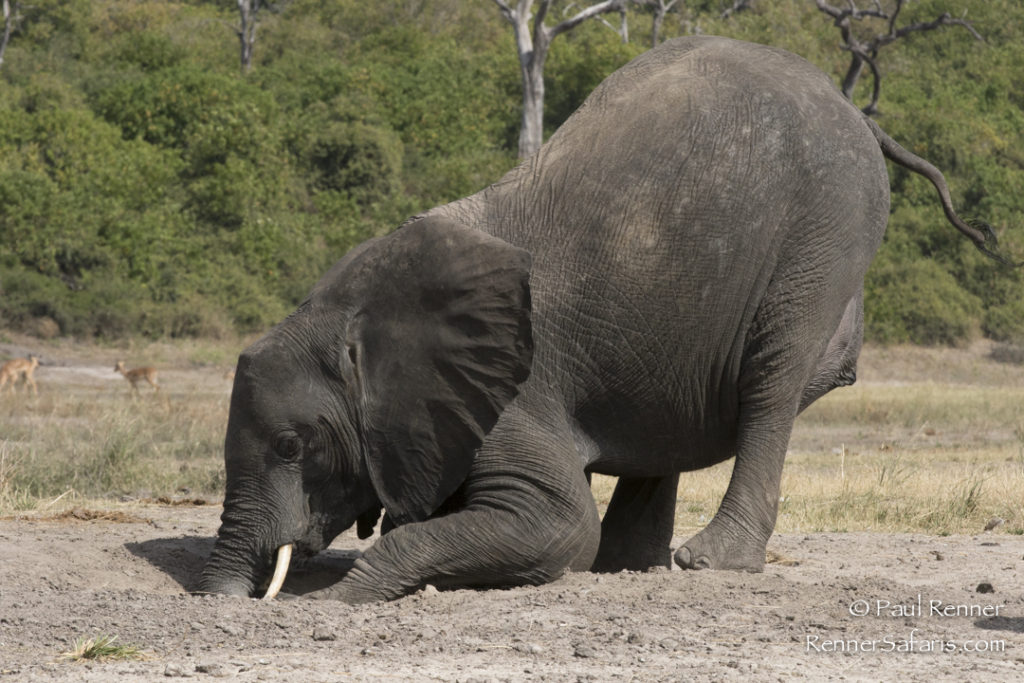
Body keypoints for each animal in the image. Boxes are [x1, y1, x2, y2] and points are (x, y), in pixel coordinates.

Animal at [199, 36, 1007, 603]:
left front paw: (342, 596)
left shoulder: (509, 400)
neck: (355, 314)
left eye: (291, 445)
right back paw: (628, 567)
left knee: (773, 379)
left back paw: (708, 563)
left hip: (827, 235)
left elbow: (557, 525)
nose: (223, 600)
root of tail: (859, 110)